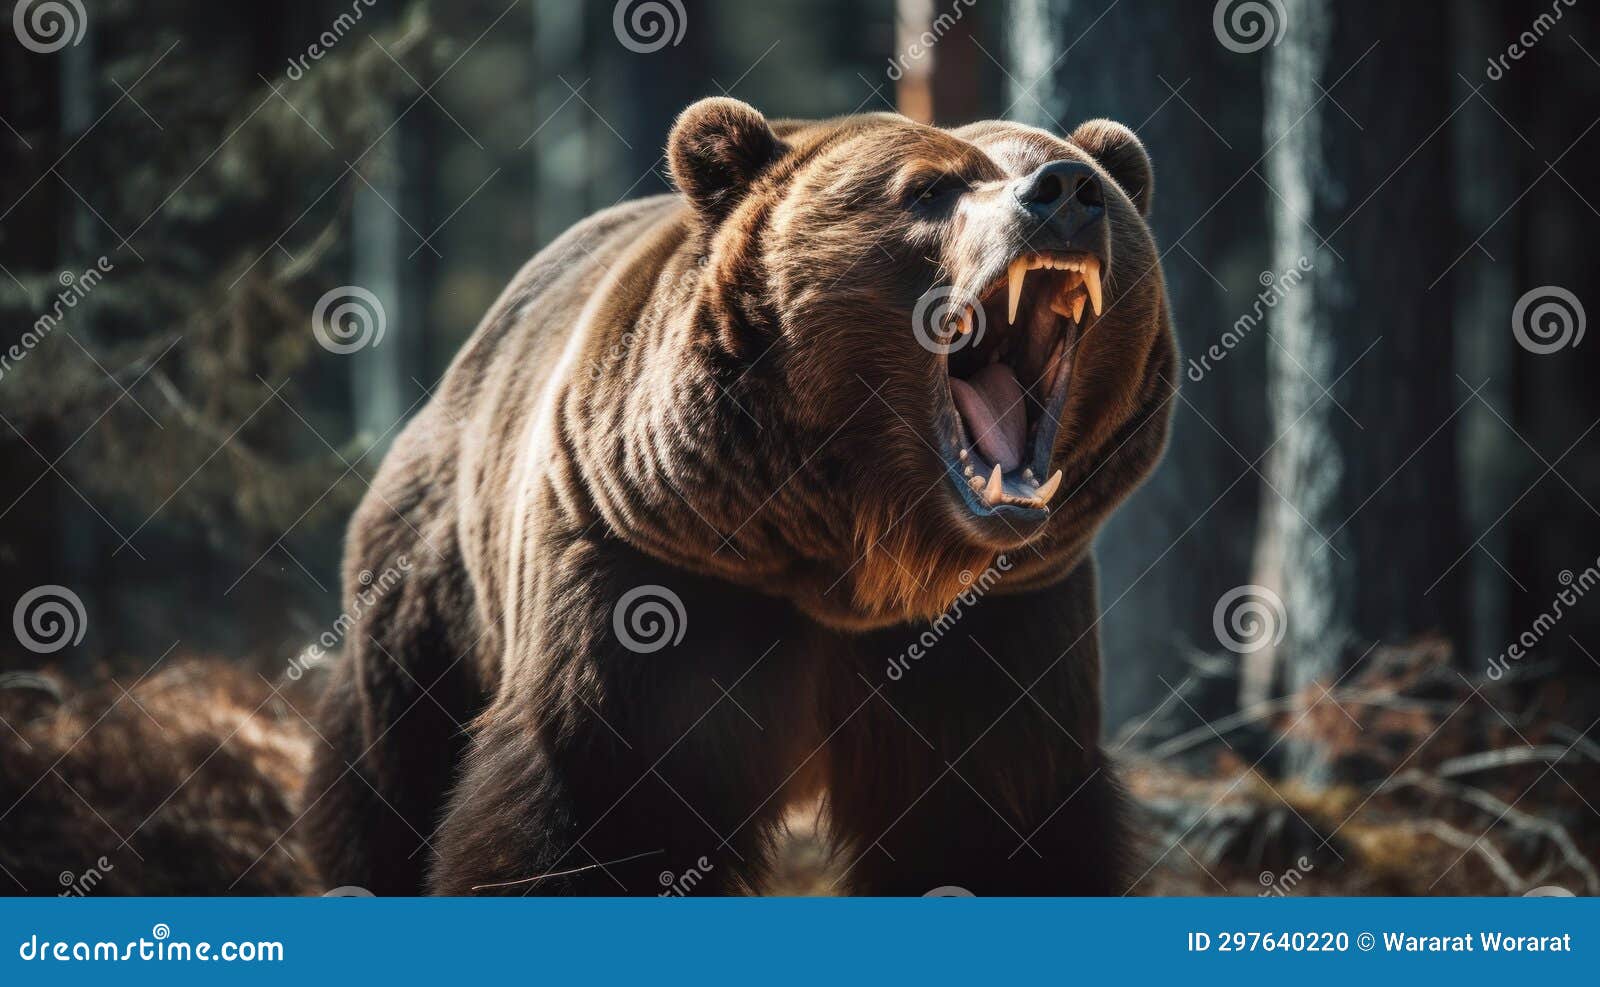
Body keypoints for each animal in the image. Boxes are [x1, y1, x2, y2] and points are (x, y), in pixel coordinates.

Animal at [304, 97, 1176, 895]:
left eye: (1094, 183)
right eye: (928, 189)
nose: (1062, 192)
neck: (865, 559)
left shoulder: (1003, 616)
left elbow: (993, 822)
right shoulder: (658, 569)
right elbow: (599, 802)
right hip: (436, 584)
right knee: (390, 765)